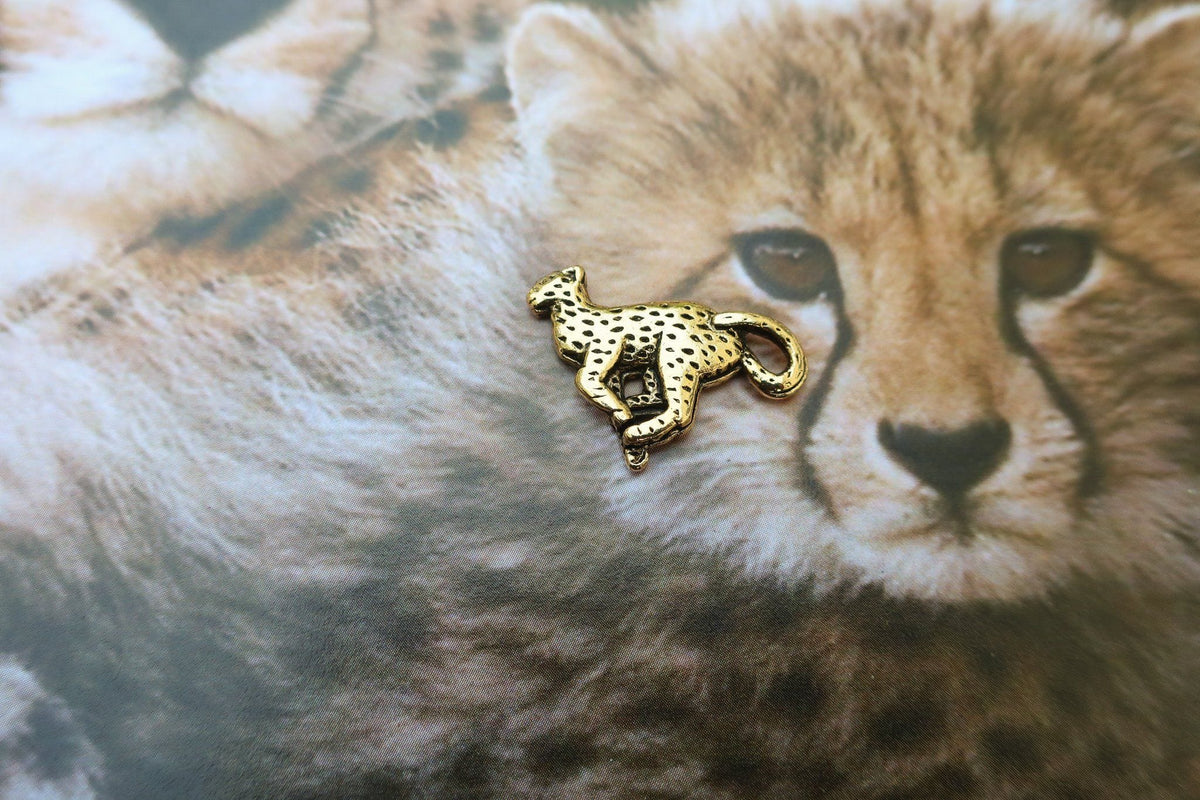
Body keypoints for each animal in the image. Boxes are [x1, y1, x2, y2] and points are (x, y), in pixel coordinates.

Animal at [528, 265, 806, 469]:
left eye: (548, 282)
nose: (530, 297)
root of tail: (719, 322)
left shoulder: (604, 349)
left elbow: (586, 380)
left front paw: (624, 418)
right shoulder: (618, 369)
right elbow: (612, 387)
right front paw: (627, 431)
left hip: (674, 355)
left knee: (679, 411)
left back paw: (637, 430)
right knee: (660, 397)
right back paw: (638, 410)